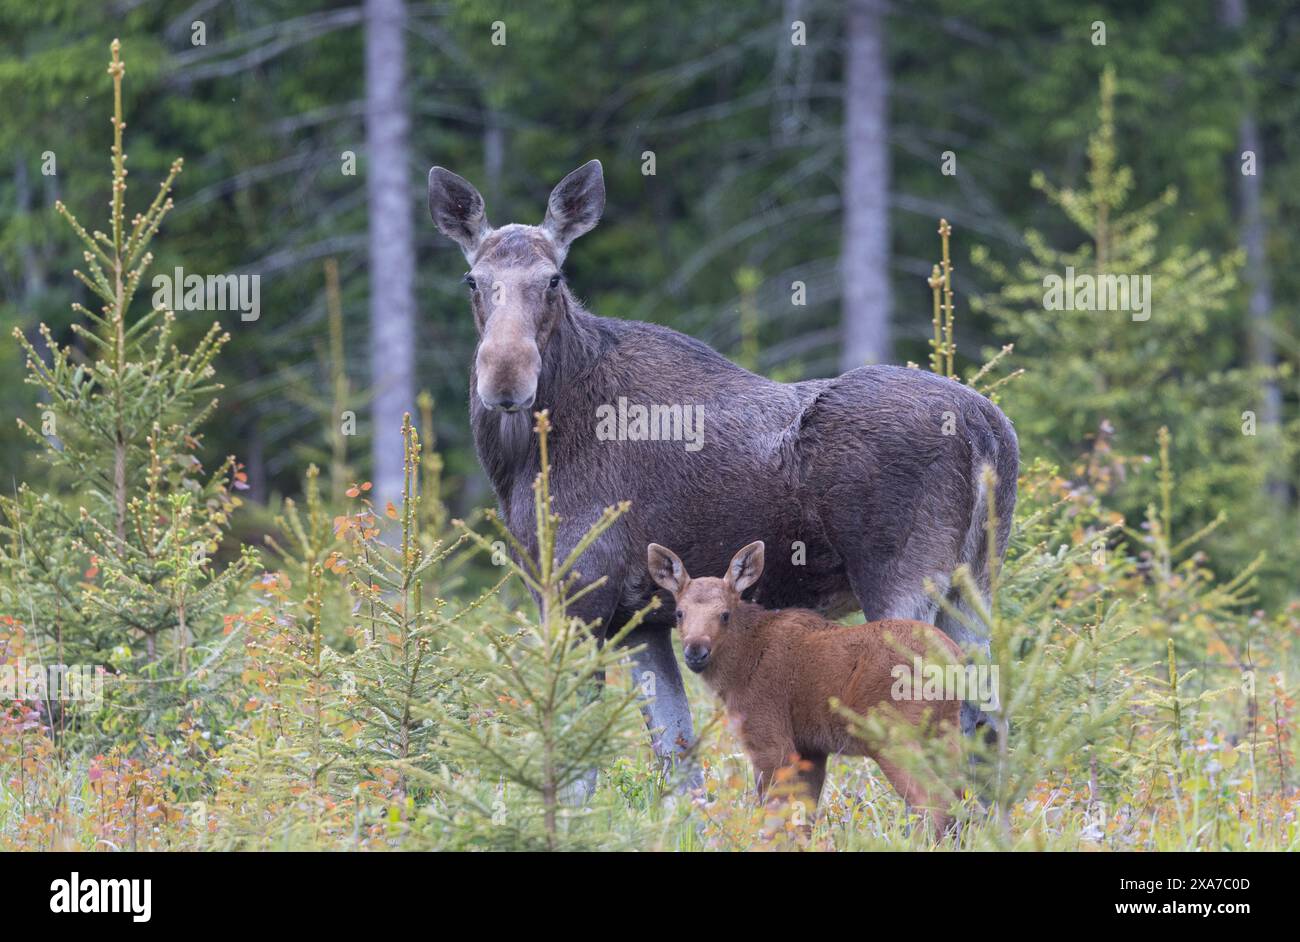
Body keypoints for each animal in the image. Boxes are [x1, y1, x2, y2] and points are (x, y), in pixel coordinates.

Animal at [427, 158, 1018, 781]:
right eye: (472, 280)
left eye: (554, 279)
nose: (505, 377)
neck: (519, 463)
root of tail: (987, 428)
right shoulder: (644, 620)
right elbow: (679, 759)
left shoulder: (578, 591)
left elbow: (576, 760)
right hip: (974, 582)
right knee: (988, 722)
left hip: (905, 578)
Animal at [647, 540, 963, 834]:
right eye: (679, 613)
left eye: (725, 614)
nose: (695, 652)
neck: (739, 666)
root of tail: (952, 658)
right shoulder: (811, 748)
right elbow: (803, 818)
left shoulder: (769, 738)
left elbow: (776, 817)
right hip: (944, 731)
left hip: (894, 736)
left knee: (937, 804)